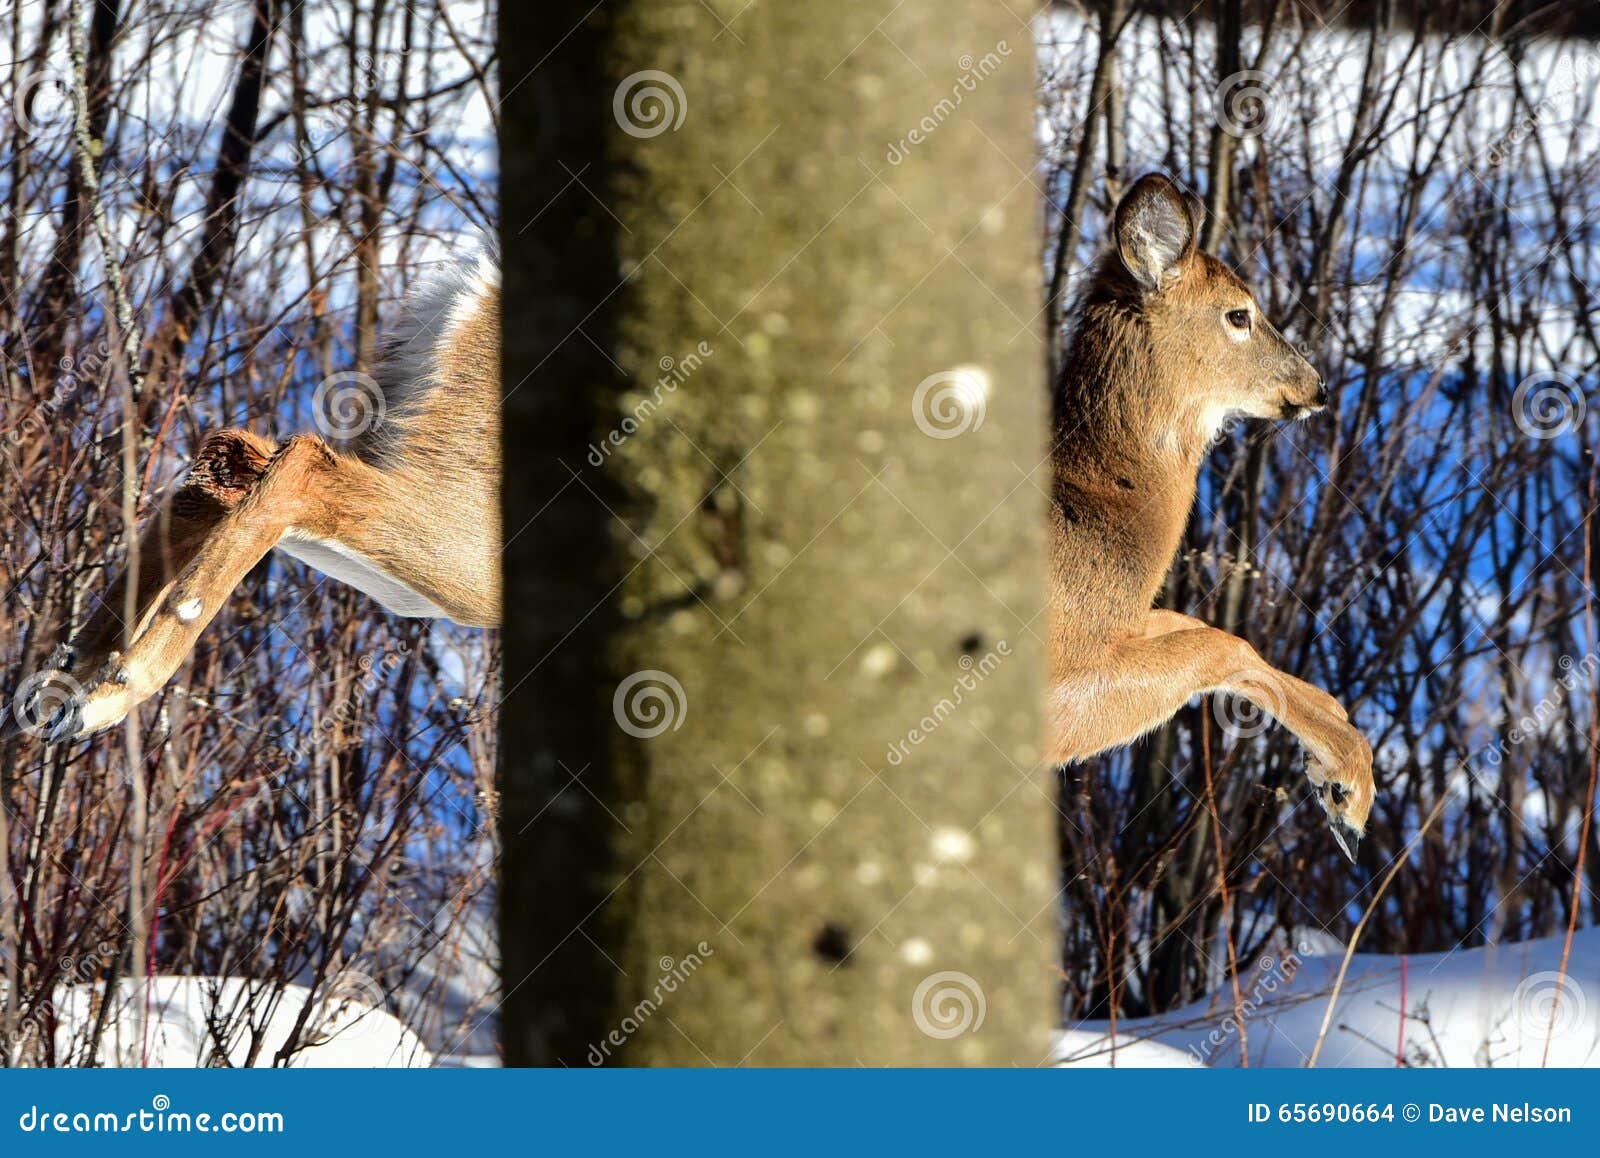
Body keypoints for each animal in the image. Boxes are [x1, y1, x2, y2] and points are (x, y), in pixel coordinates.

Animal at [5, 250, 501, 744]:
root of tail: (477, 278)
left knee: (231, 462)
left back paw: (55, 686)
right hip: (469, 550)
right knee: (295, 468)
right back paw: (98, 699)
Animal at [1048, 173, 1374, 862]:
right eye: (1239, 313)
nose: (1317, 385)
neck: (1098, 509)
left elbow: (1211, 631)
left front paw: (1337, 763)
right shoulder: (1058, 688)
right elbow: (1221, 644)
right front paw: (1347, 785)